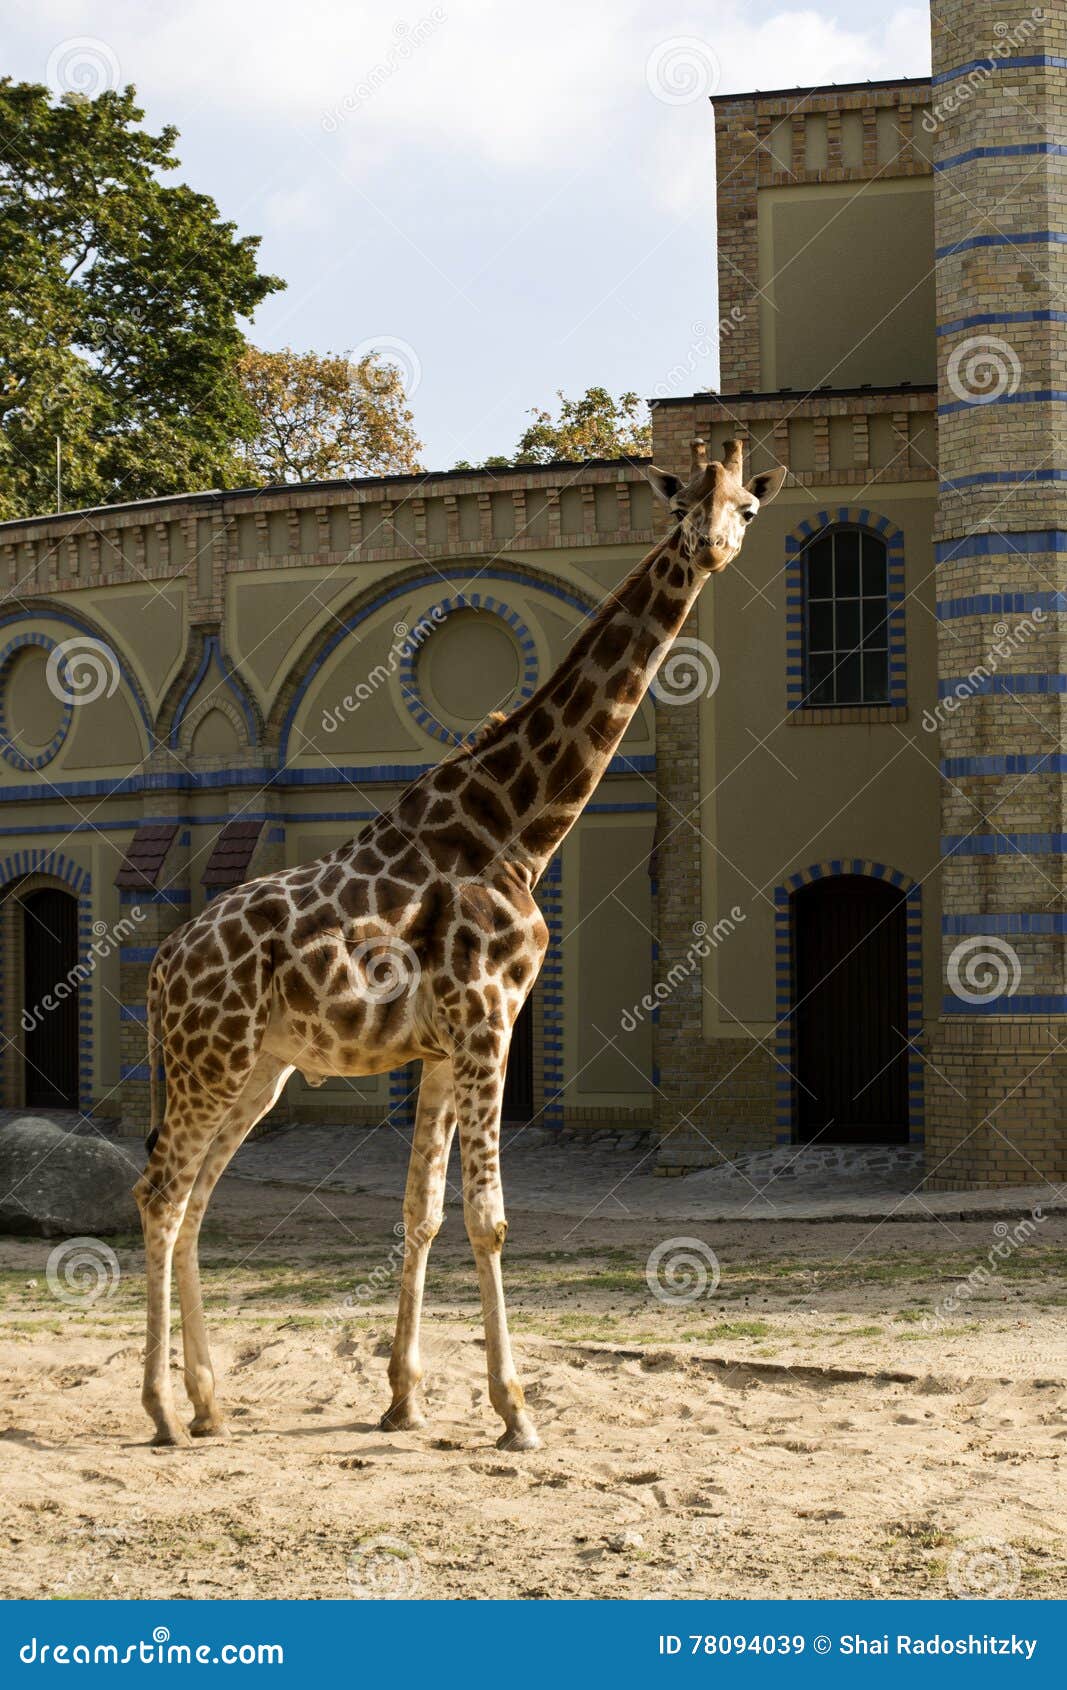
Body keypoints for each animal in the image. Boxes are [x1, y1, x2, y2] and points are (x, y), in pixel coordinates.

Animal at [134, 438, 786, 1451]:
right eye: (679, 500)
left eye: (746, 508)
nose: (710, 548)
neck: (515, 828)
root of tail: (164, 968)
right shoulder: (488, 1020)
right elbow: (488, 1219)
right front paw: (514, 1411)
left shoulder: (441, 1048)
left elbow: (422, 1215)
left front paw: (404, 1399)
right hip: (212, 1057)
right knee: (161, 1194)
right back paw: (164, 1409)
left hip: (257, 1068)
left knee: (197, 1198)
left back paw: (210, 1402)